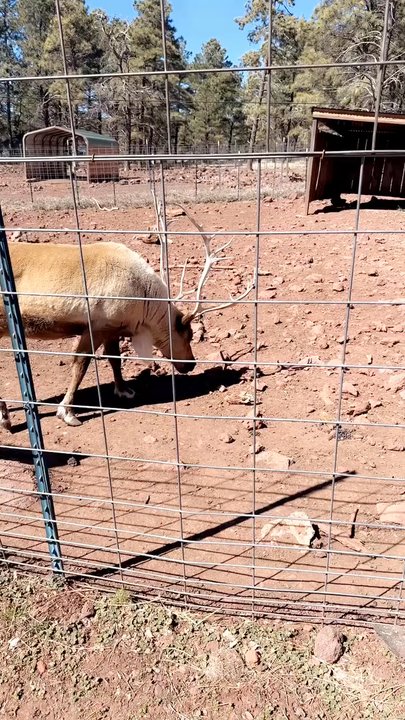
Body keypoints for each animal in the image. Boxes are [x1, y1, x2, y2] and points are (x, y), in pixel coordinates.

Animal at [0, 205, 254, 431]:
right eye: (187, 334)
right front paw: (68, 412)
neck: (143, 301)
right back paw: (6, 419)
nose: (191, 364)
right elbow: (80, 364)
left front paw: (123, 390)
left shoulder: (112, 328)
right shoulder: (96, 326)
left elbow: (114, 359)